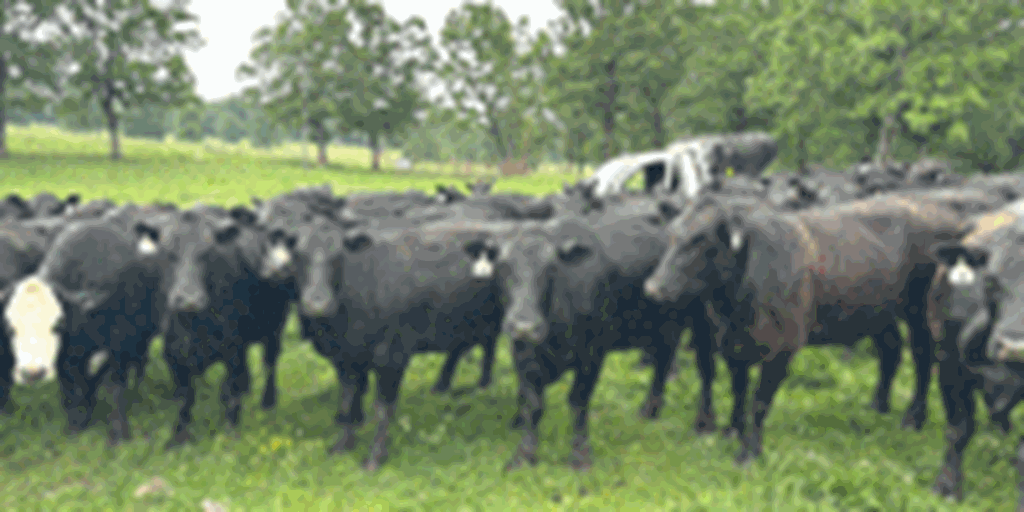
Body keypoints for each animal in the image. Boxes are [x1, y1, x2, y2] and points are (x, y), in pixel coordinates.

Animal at [1, 213, 167, 444]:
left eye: (58, 324)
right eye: (10, 327)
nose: (33, 373)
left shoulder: (118, 346)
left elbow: (114, 386)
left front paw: (118, 433)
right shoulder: (66, 357)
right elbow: (70, 388)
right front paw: (76, 424)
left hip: (142, 339)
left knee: (139, 364)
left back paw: (136, 392)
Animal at [262, 215, 507, 470]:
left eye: (339, 256)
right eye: (298, 255)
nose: (317, 304)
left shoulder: (392, 355)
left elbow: (382, 408)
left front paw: (375, 456)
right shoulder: (345, 359)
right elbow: (347, 402)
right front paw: (342, 446)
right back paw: (479, 386)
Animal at [644, 193, 970, 465]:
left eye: (700, 240)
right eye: (673, 235)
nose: (653, 287)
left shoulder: (782, 347)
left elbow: (759, 402)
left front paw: (749, 452)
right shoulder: (730, 343)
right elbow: (738, 392)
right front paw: (731, 431)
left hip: (921, 314)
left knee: (922, 359)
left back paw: (914, 418)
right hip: (879, 312)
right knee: (891, 351)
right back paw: (879, 405)